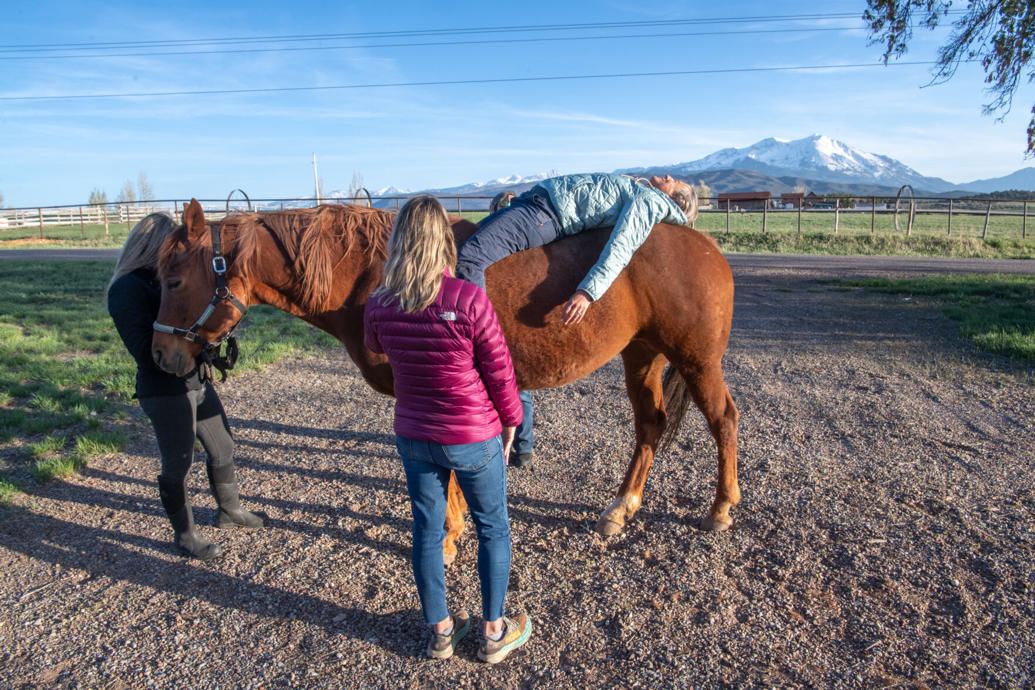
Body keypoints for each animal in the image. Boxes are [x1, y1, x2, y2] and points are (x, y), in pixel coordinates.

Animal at [152, 199, 740, 564]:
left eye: (174, 280)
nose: (161, 354)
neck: (379, 276)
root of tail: (703, 242)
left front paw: (449, 539)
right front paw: (455, 531)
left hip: (695, 360)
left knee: (723, 420)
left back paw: (720, 508)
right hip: (641, 355)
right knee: (650, 426)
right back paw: (621, 509)